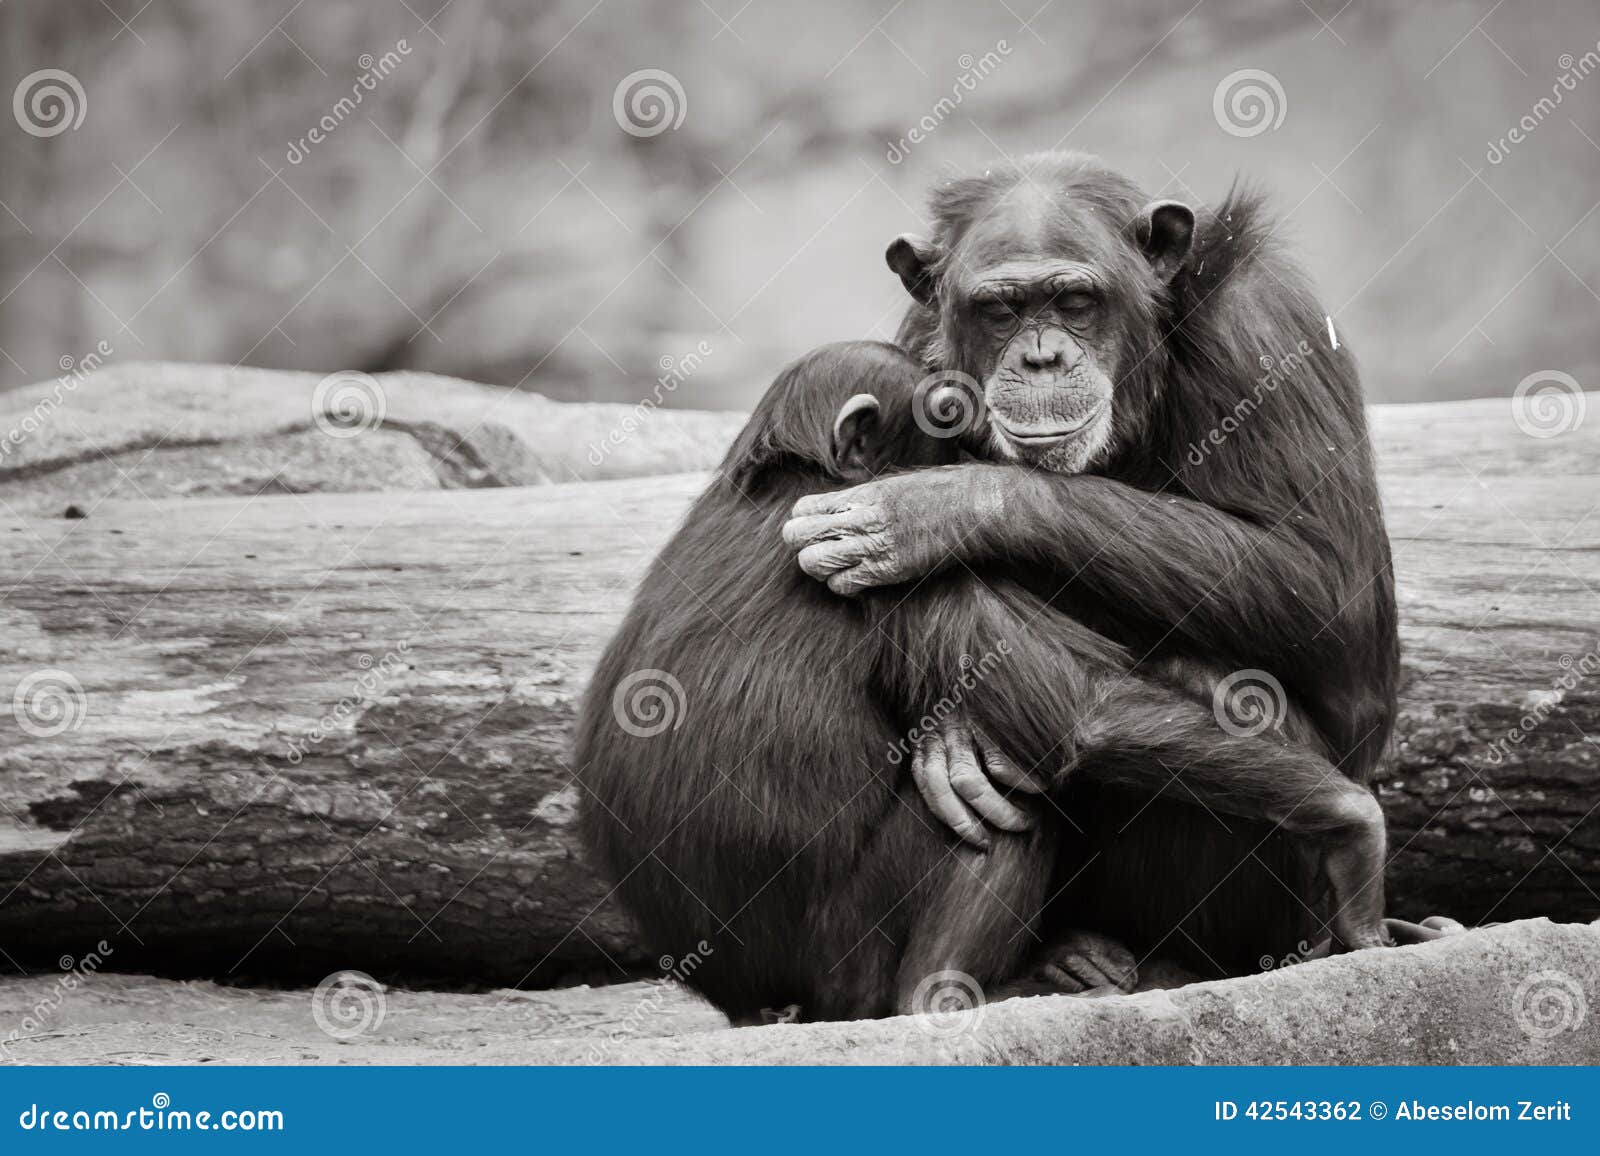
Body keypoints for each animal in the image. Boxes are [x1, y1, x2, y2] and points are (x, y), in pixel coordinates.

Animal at [577, 338, 1403, 1025]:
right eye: (947, 421)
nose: (979, 447)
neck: (792, 479)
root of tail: (752, 1004)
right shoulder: (920, 584)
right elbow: (1083, 719)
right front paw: (1351, 824)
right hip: (848, 969)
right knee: (1012, 811)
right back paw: (960, 992)